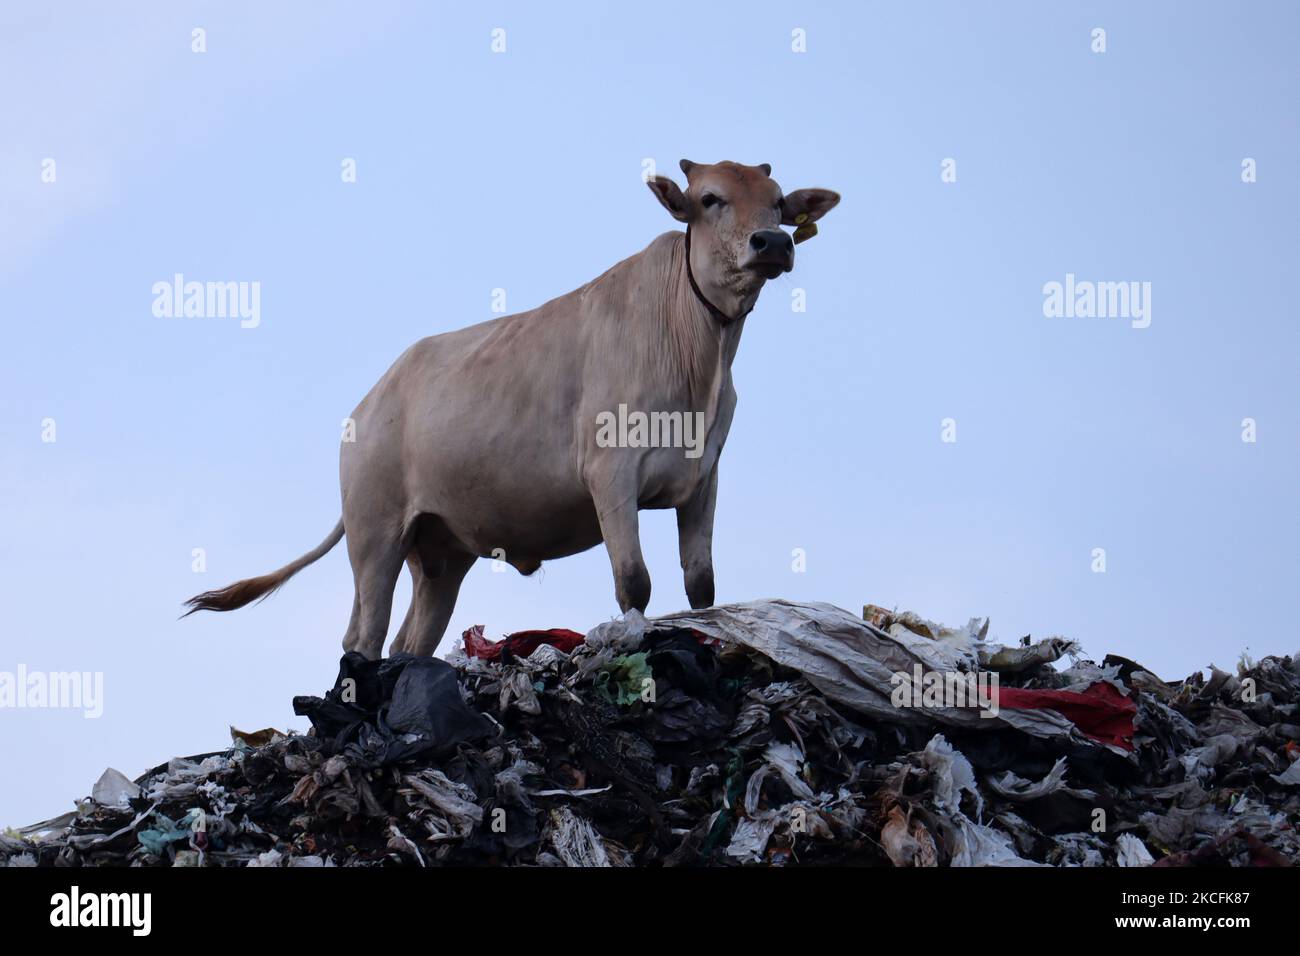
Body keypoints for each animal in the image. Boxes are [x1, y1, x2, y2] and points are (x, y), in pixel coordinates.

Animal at [184, 159, 840, 659]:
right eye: (711, 199)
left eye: (779, 206)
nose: (773, 243)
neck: (697, 358)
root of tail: (372, 399)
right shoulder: (610, 472)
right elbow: (635, 581)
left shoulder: (704, 476)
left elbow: (701, 585)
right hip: (375, 532)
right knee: (363, 635)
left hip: (441, 551)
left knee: (409, 641)